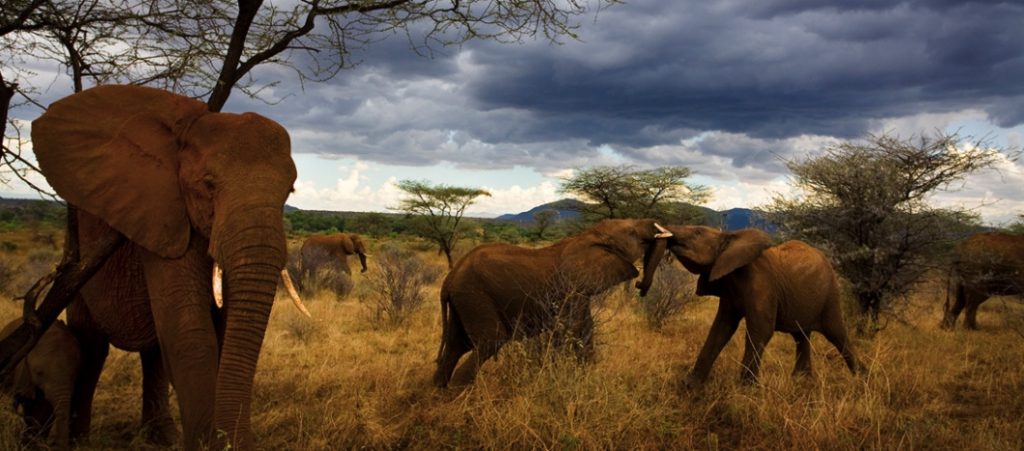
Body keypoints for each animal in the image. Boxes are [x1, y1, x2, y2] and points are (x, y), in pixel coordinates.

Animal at [31, 84, 304, 450]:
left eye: (290, 190)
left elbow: (221, 330)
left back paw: (160, 439)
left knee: (153, 353)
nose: (236, 439)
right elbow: (191, 333)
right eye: (208, 185)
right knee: (92, 347)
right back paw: (81, 441)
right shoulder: (165, 219)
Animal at [434, 218, 672, 388]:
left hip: (464, 300)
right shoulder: (571, 288)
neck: (590, 235)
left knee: (455, 347)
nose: (641, 286)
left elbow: (586, 330)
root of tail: (449, 278)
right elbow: (570, 329)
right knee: (490, 342)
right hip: (475, 296)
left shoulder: (579, 291)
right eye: (632, 233)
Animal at [663, 225, 860, 385]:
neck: (730, 238)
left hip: (830, 295)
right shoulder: (729, 288)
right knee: (801, 336)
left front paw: (745, 392)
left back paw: (861, 380)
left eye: (697, 232)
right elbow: (722, 327)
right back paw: (800, 381)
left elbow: (760, 330)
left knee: (837, 333)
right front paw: (690, 385)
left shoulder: (761, 282)